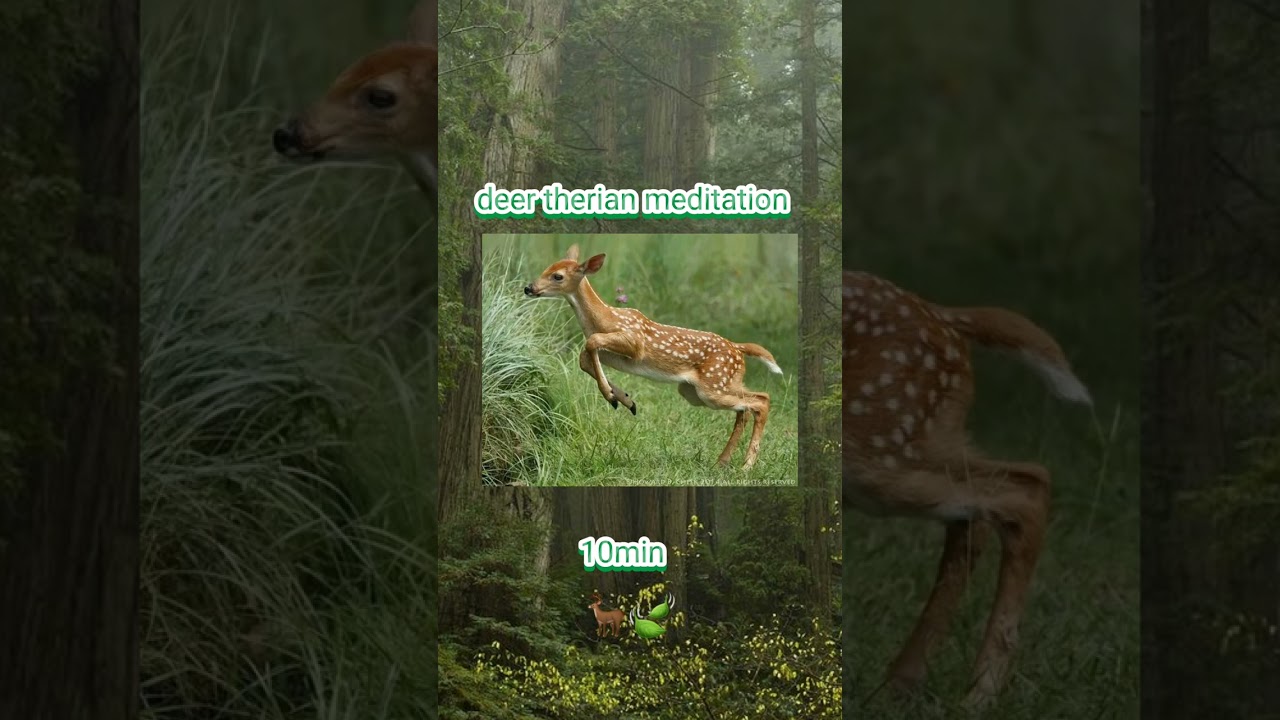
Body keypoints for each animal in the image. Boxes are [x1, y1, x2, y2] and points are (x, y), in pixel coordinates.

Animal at [524, 245, 784, 470]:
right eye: (547, 268)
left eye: (557, 276)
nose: (529, 288)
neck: (605, 318)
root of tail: (737, 348)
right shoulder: (615, 356)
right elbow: (584, 356)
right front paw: (625, 399)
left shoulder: (635, 342)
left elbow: (592, 342)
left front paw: (611, 396)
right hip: (702, 389)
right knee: (746, 408)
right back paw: (722, 462)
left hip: (712, 387)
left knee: (761, 401)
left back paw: (746, 466)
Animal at [842, 270, 1092, 710]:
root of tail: (944, 317)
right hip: (912, 440)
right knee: (977, 516)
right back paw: (902, 684)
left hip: (879, 446)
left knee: (1027, 486)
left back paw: (979, 694)